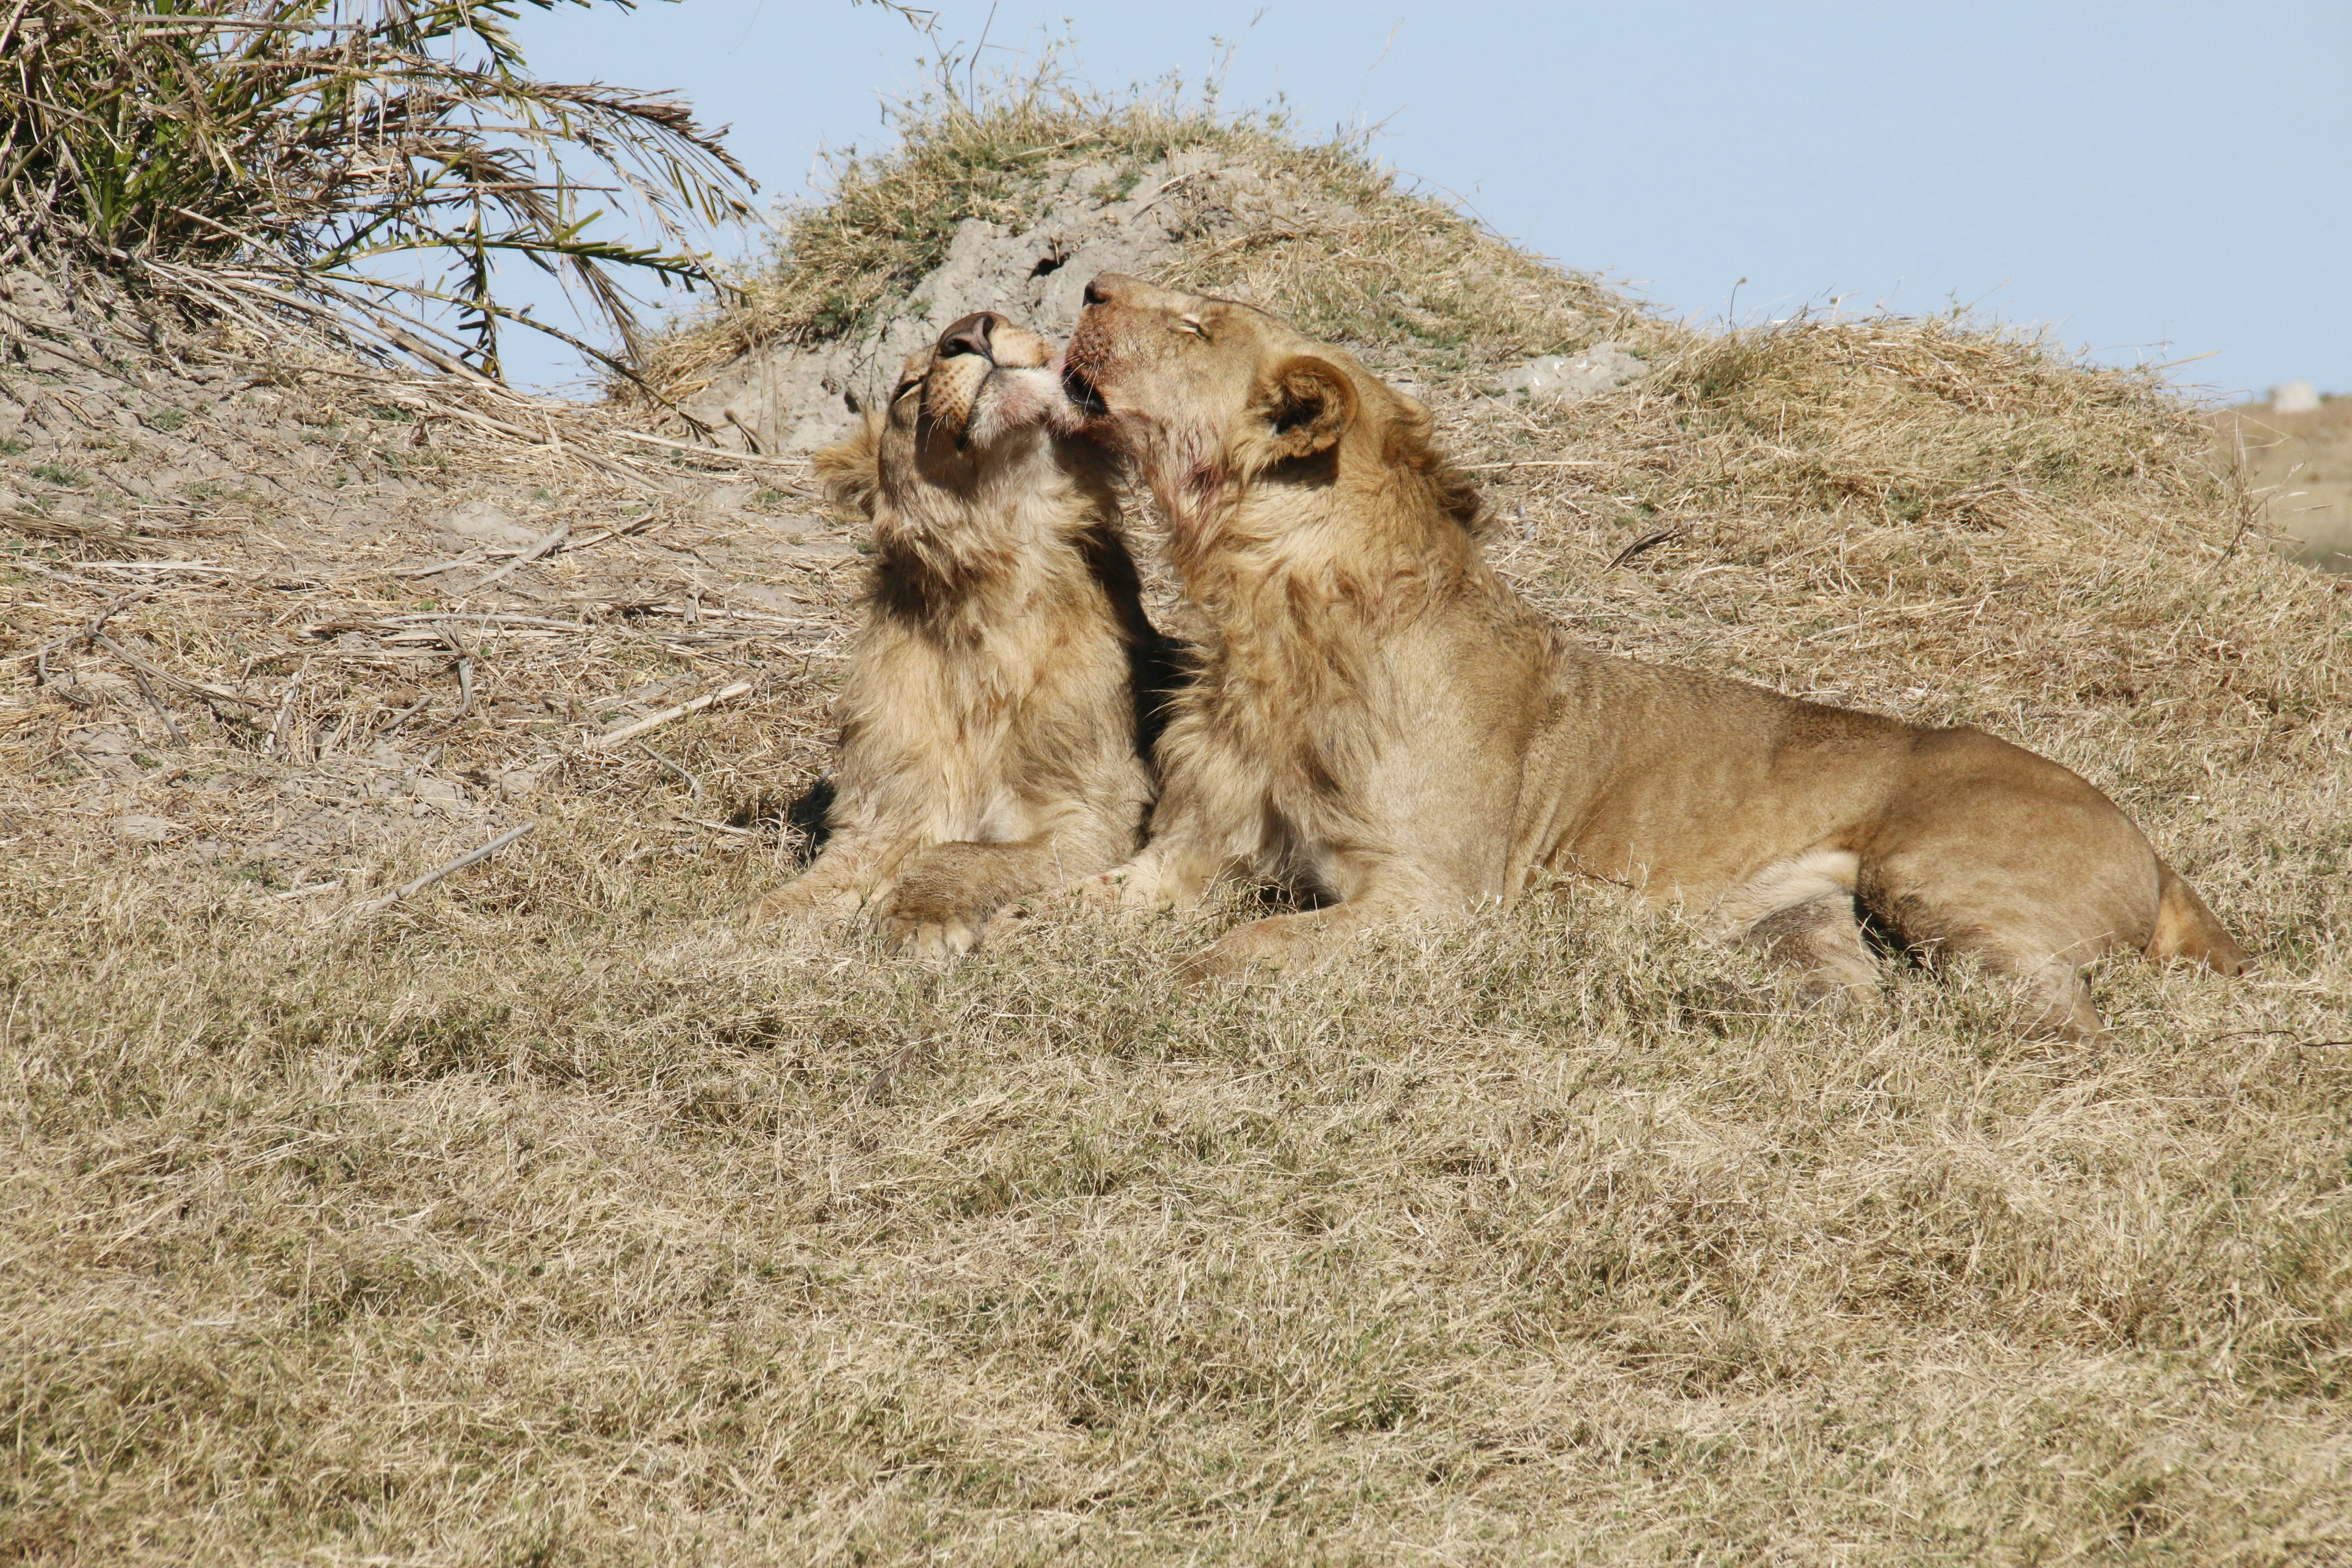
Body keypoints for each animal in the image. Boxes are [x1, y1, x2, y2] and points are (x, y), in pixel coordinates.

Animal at [744, 310, 1177, 957]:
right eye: (907, 389)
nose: (970, 331)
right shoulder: (880, 823)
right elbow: (790, 899)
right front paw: (728, 937)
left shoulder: (1096, 820)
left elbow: (960, 851)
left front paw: (919, 917)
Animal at [1050, 273, 2248, 1036]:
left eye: (1197, 324)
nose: (1090, 288)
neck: (1274, 616)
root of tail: (2154, 847)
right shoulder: (1186, 852)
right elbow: (1057, 904)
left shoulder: (1437, 898)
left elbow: (1247, 948)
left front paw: (1176, 981)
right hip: (1806, 922)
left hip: (1937, 872)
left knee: (2062, 1014)